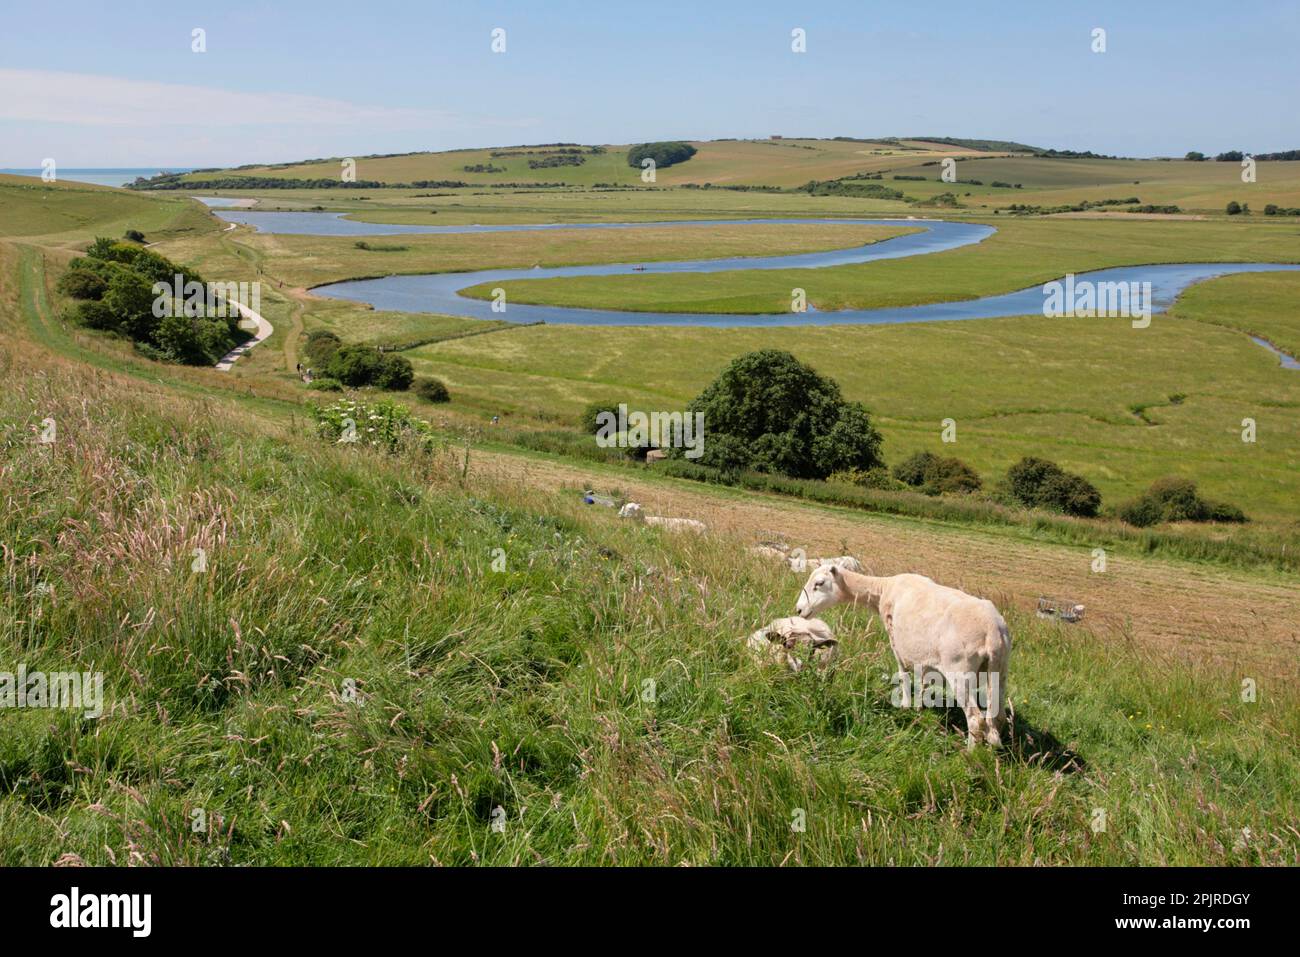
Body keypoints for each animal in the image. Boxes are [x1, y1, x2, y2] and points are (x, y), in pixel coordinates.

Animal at [795, 565, 1010, 748]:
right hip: (1000, 670)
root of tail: (992, 630)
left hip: (959, 670)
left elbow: (904, 674)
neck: (882, 589)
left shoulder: (896, 644)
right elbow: (922, 681)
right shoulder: (920, 655)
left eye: (819, 583)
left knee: (975, 719)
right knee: (997, 718)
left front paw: (906, 705)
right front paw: (919, 708)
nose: (798, 610)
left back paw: (970, 757)